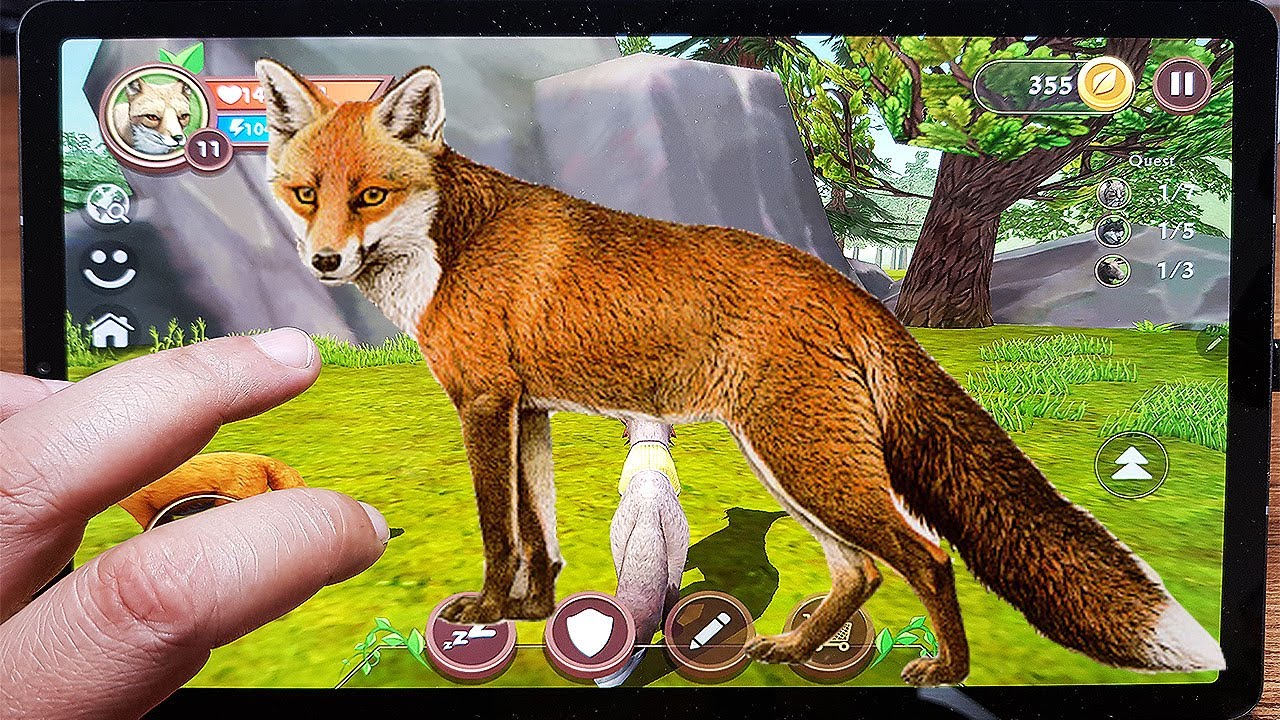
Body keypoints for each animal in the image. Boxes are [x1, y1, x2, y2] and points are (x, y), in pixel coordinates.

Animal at [255, 58, 1225, 686]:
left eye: (370, 196)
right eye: (306, 194)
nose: (324, 263)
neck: (448, 248)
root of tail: (846, 289)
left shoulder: (485, 405)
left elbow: (500, 532)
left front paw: (489, 612)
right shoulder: (528, 411)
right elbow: (540, 534)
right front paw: (532, 615)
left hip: (805, 462)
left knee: (928, 556)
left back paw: (948, 667)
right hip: (793, 466)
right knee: (861, 573)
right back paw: (795, 652)